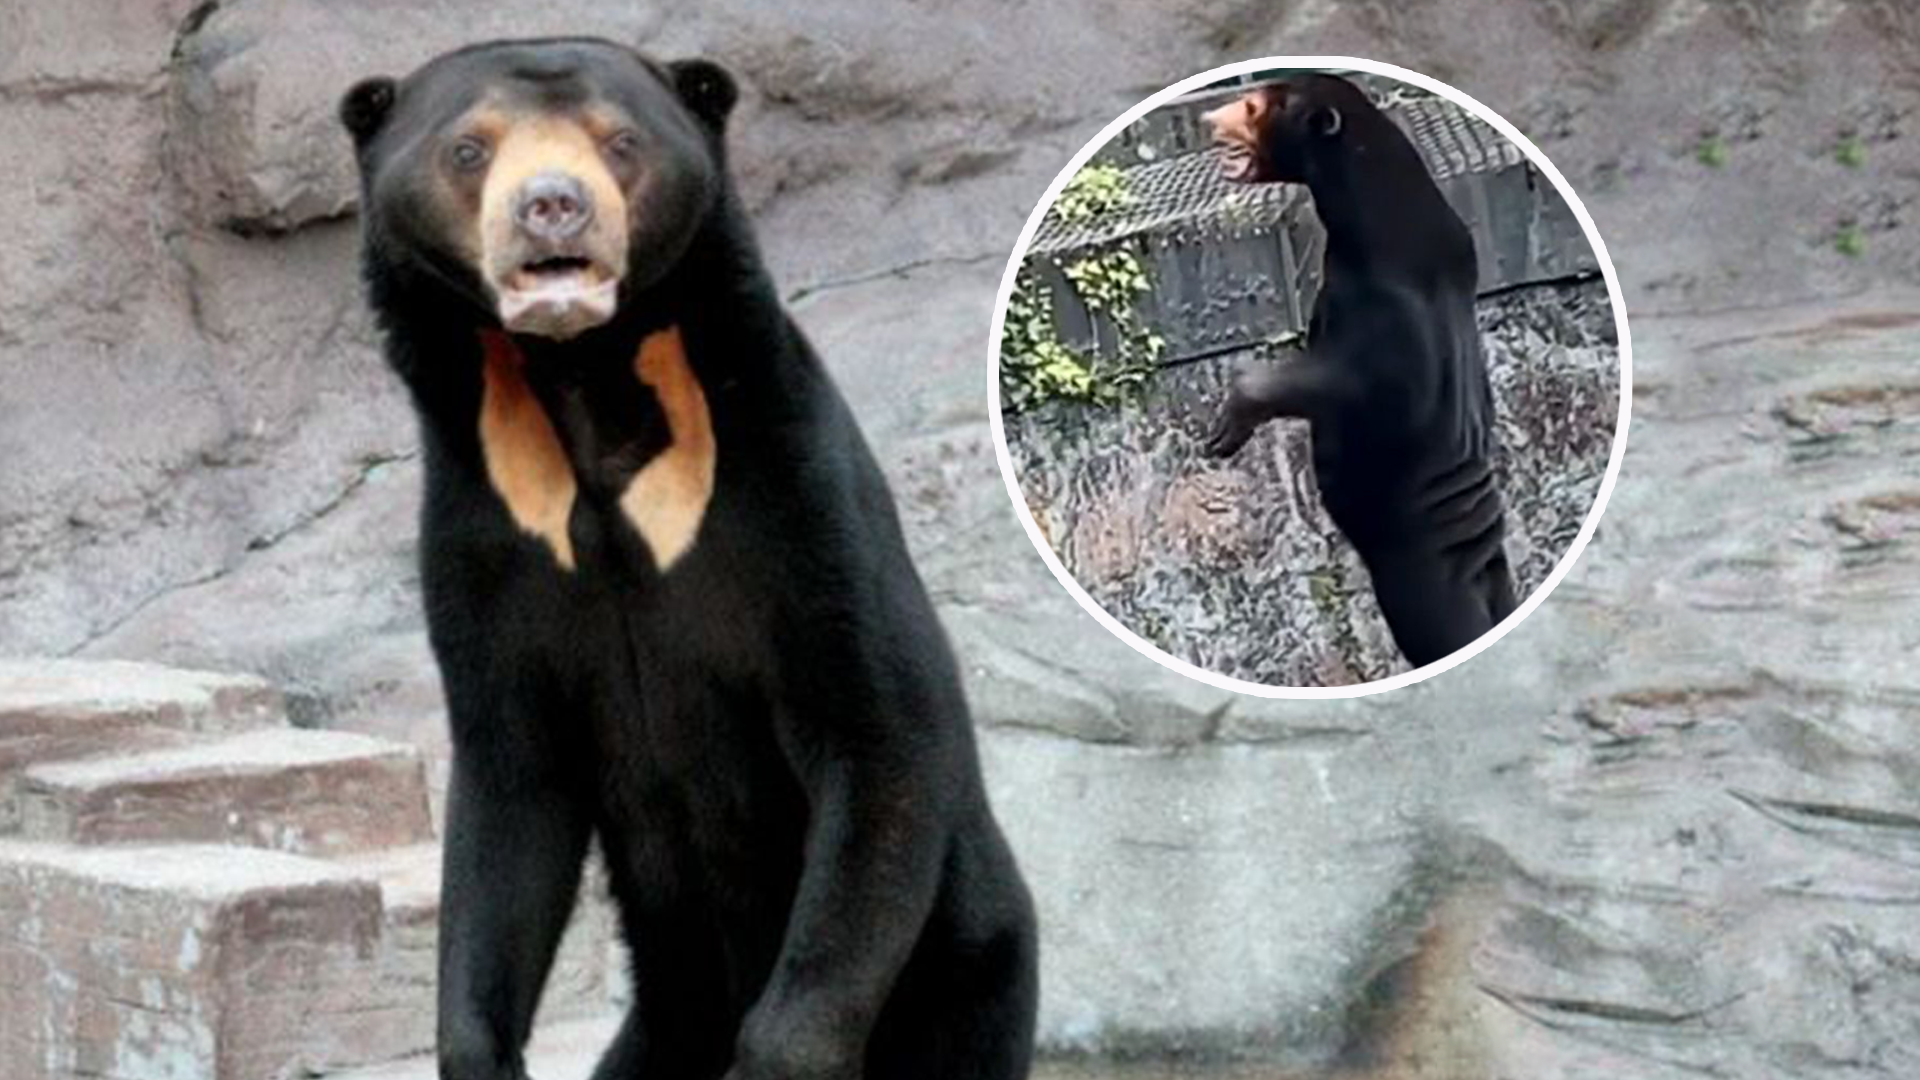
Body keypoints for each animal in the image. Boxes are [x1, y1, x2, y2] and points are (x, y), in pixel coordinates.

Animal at [339, 38, 1037, 1080]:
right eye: (469, 149)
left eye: (619, 141)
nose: (552, 206)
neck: (581, 384)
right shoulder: (484, 530)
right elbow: (509, 781)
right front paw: (482, 1051)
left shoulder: (793, 494)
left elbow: (875, 724)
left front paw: (780, 1057)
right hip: (668, 1018)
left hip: (967, 975)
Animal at [1198, 72, 1518, 669]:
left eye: (1253, 107)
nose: (1208, 119)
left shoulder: (1386, 316)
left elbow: (1348, 385)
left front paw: (1225, 426)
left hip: (1419, 567)